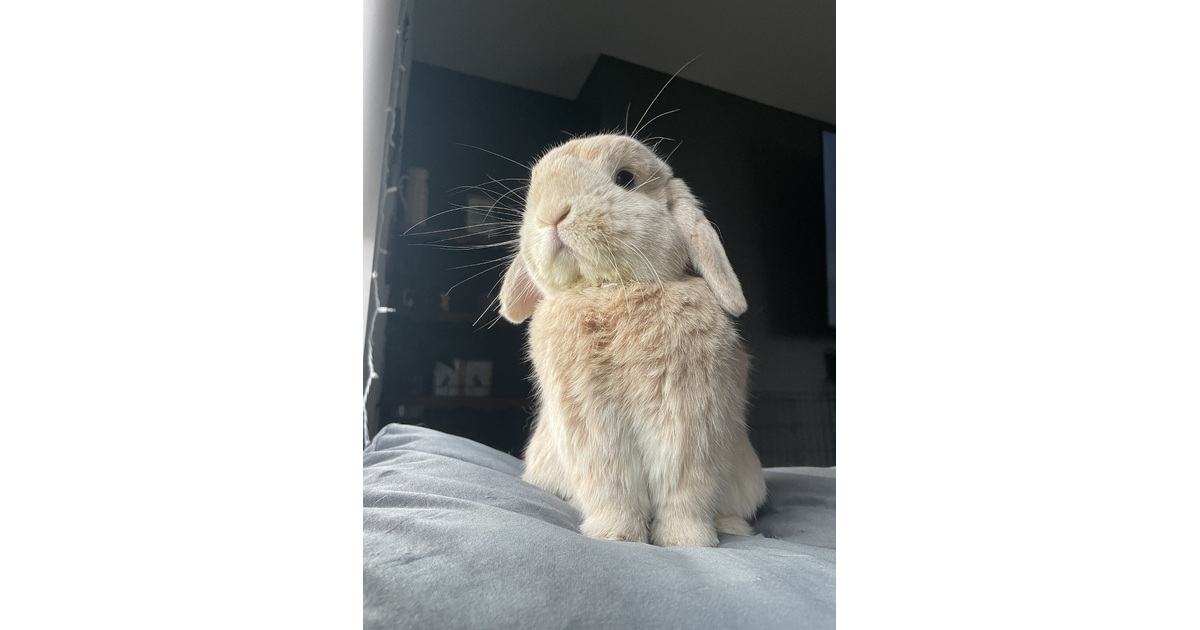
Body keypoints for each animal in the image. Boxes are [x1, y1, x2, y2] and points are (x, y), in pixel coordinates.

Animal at [498, 133, 766, 547]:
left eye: (625, 178)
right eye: (533, 191)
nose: (552, 213)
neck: (612, 290)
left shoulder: (690, 423)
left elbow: (684, 491)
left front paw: (686, 541)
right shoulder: (592, 428)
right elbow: (613, 487)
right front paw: (615, 535)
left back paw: (732, 527)